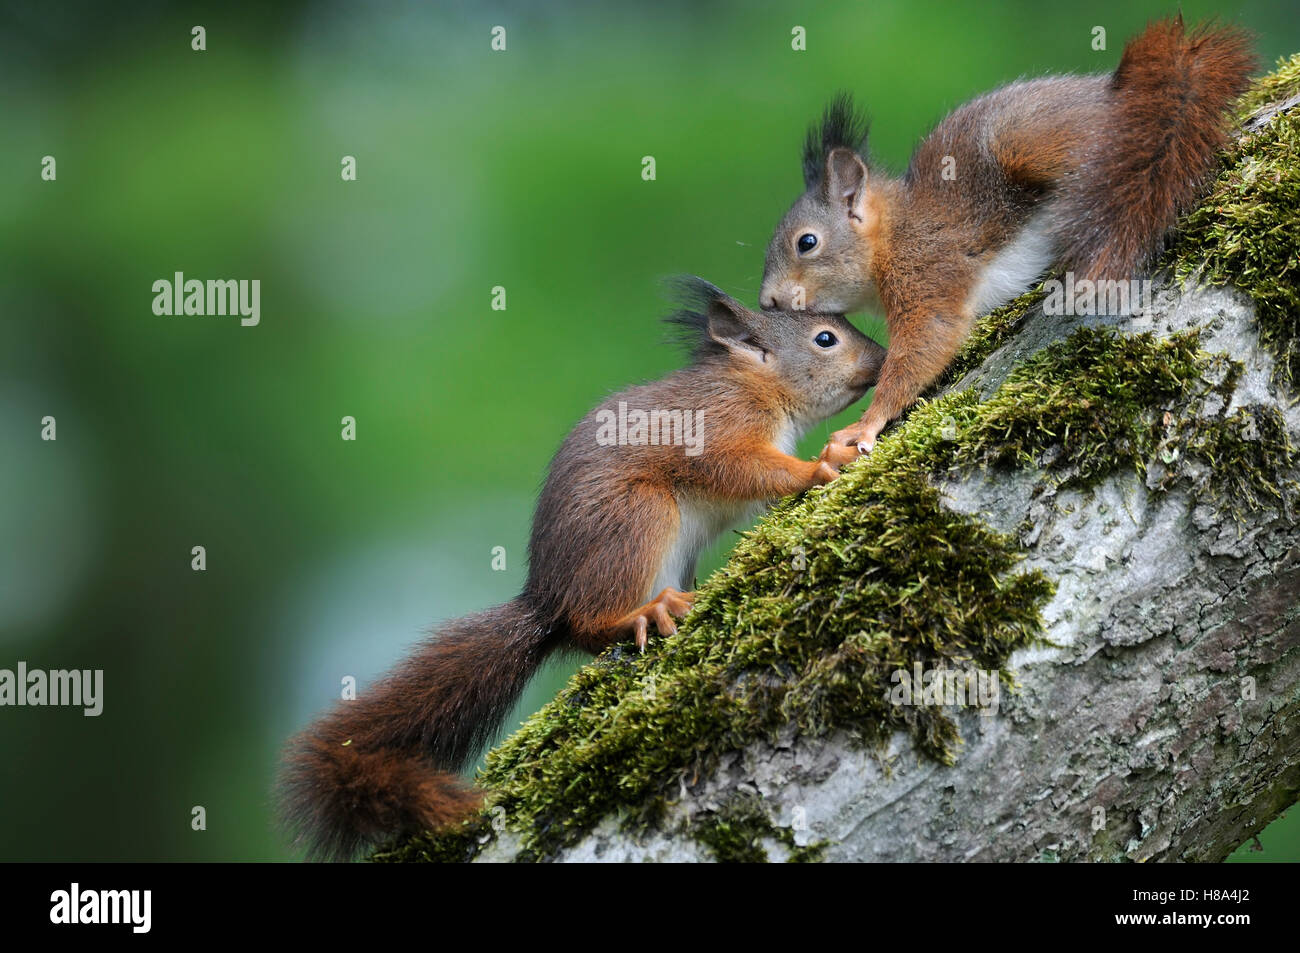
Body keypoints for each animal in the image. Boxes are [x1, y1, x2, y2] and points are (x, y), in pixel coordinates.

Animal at [277, 278, 886, 861]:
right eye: (825, 339)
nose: (882, 358)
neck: (758, 385)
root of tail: (546, 600)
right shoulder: (716, 427)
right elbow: (740, 468)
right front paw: (821, 464)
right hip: (637, 518)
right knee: (589, 626)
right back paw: (644, 613)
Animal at [759, 16, 1255, 456]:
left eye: (807, 242)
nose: (767, 301)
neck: (891, 239)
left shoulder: (927, 271)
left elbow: (926, 343)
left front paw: (866, 425)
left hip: (1037, 144)